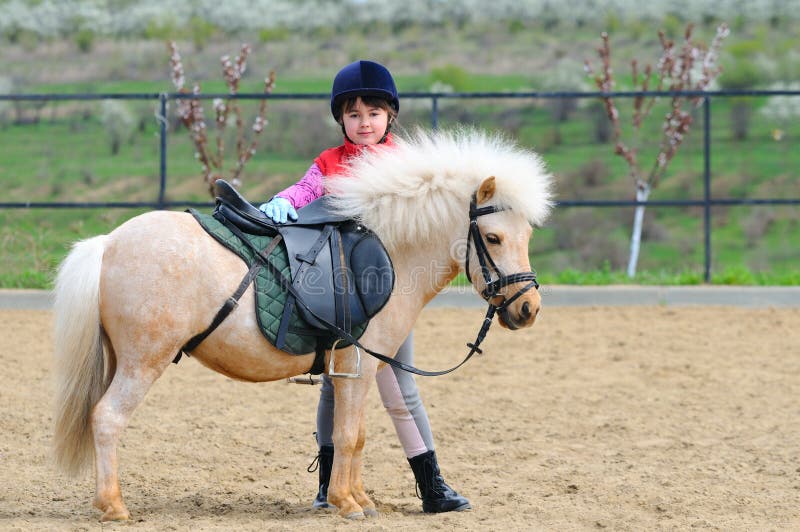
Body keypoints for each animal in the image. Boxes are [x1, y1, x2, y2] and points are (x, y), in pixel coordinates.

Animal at [52, 128, 554, 521]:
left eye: (527, 235)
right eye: (493, 238)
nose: (528, 308)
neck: (388, 249)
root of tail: (109, 243)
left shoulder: (357, 368)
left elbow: (355, 435)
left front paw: (357, 499)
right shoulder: (358, 365)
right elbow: (349, 435)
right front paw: (348, 504)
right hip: (144, 362)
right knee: (107, 418)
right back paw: (113, 506)